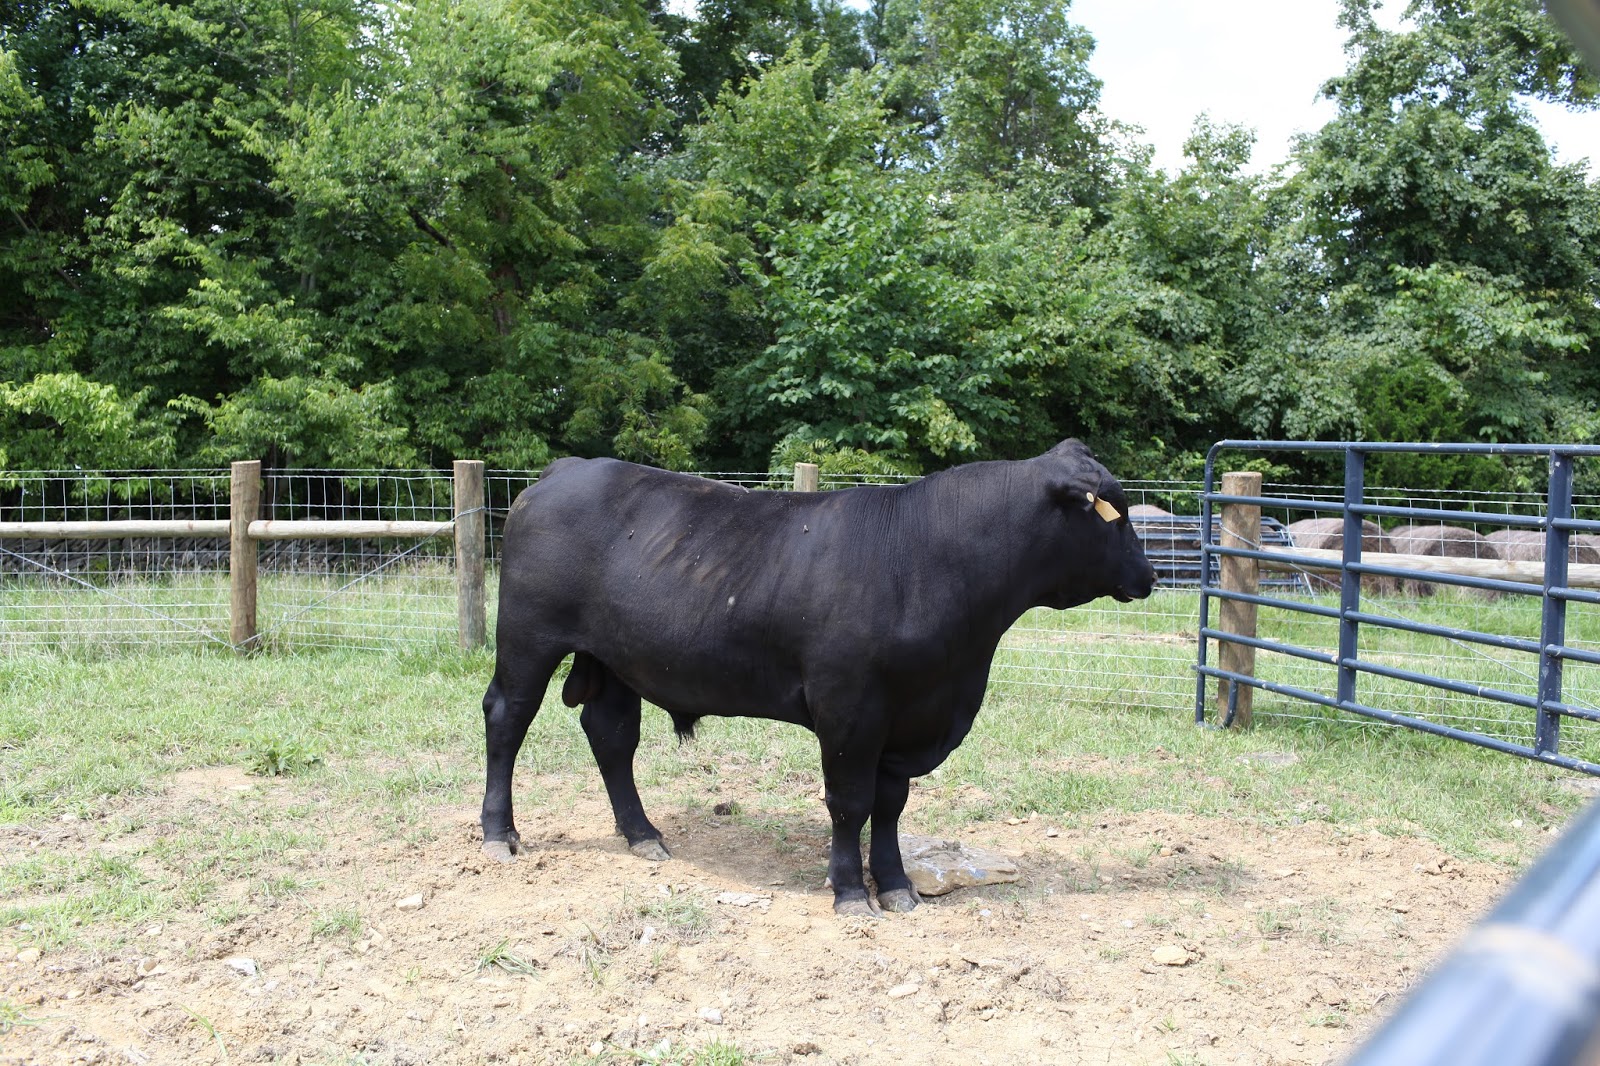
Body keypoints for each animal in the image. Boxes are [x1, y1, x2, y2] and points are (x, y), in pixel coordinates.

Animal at [479, 439, 1158, 917]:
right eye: (1116, 513)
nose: (1151, 576)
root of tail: (565, 470)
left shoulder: (910, 716)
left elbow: (889, 806)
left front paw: (897, 886)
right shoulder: (849, 707)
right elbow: (849, 802)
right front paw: (851, 892)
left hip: (616, 658)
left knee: (612, 735)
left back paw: (643, 834)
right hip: (527, 641)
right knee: (506, 720)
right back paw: (499, 834)